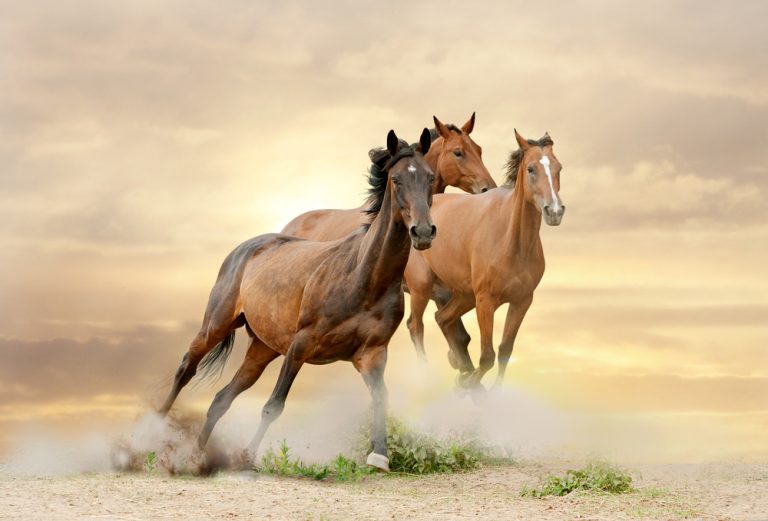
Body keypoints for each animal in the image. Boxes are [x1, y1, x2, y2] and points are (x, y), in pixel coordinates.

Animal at [158, 129, 436, 472]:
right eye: (396, 179)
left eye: (430, 177)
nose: (423, 232)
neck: (364, 277)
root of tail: (247, 247)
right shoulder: (301, 345)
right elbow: (273, 405)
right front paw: (247, 457)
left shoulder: (372, 355)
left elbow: (381, 398)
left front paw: (379, 456)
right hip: (216, 325)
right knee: (186, 368)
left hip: (262, 349)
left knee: (221, 399)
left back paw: (198, 457)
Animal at [404, 130, 565, 389]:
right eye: (531, 168)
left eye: (559, 168)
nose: (555, 211)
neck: (512, 243)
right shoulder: (486, 301)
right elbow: (487, 355)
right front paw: (468, 384)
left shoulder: (522, 301)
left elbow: (505, 350)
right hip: (422, 287)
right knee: (416, 325)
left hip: (463, 294)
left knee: (443, 319)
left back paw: (461, 369)